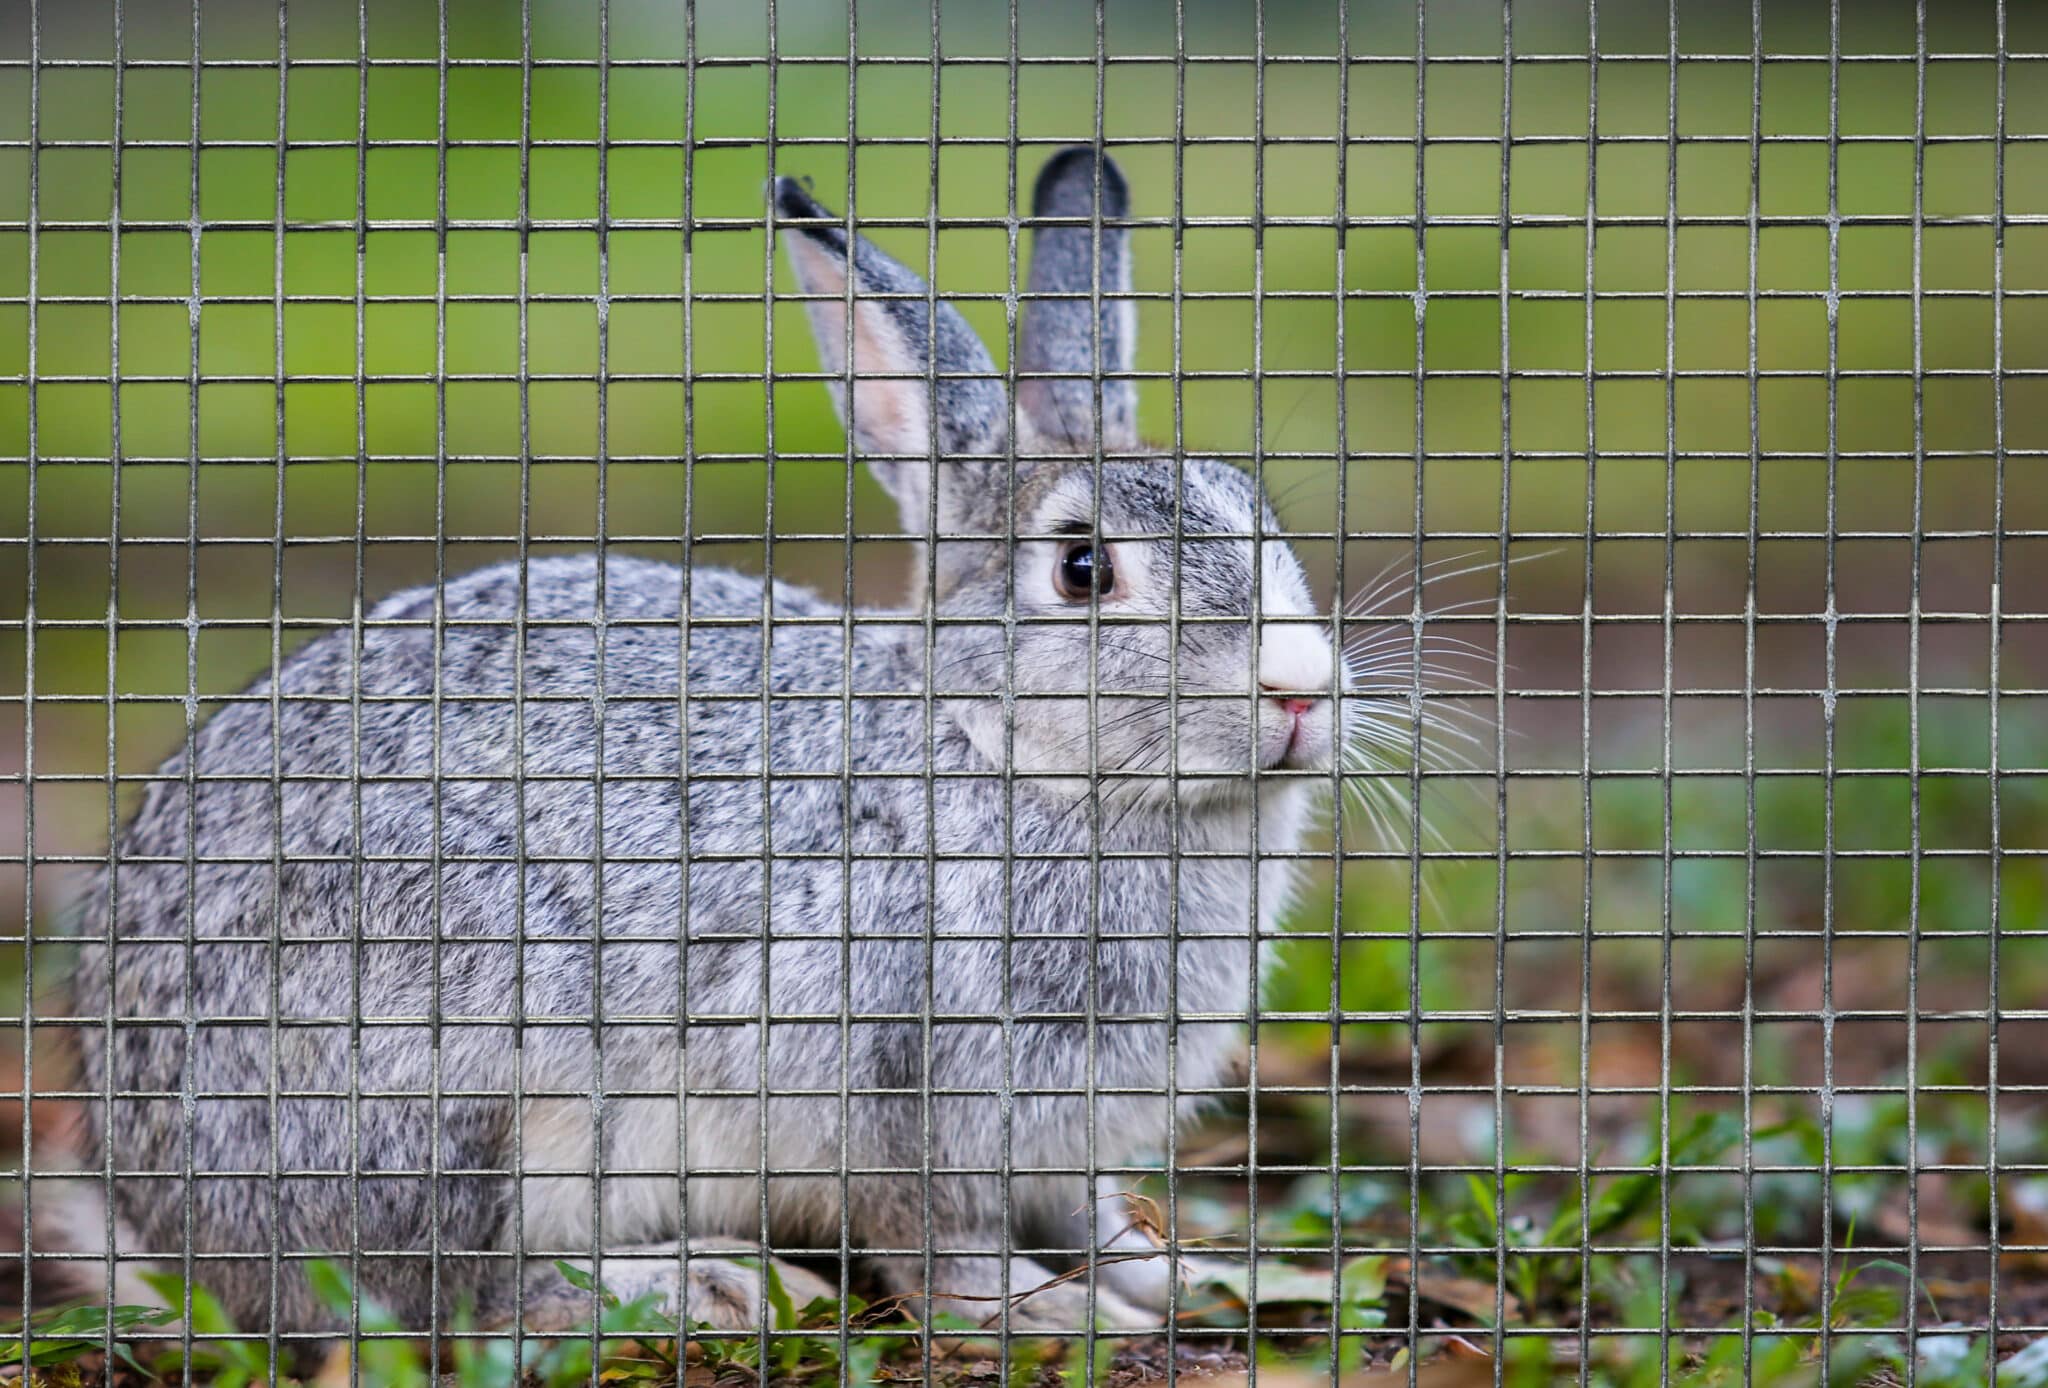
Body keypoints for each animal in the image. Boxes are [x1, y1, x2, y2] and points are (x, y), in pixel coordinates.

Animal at [39, 145, 1345, 1343]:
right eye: (1082, 570)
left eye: (1260, 516)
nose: (1297, 689)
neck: (1005, 753)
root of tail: (166, 1196)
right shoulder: (903, 1093)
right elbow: (947, 1251)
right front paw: (1053, 1311)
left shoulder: (1063, 1136)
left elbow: (1094, 1214)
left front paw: (1182, 1275)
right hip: (460, 1084)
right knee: (440, 1289)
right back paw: (700, 1283)